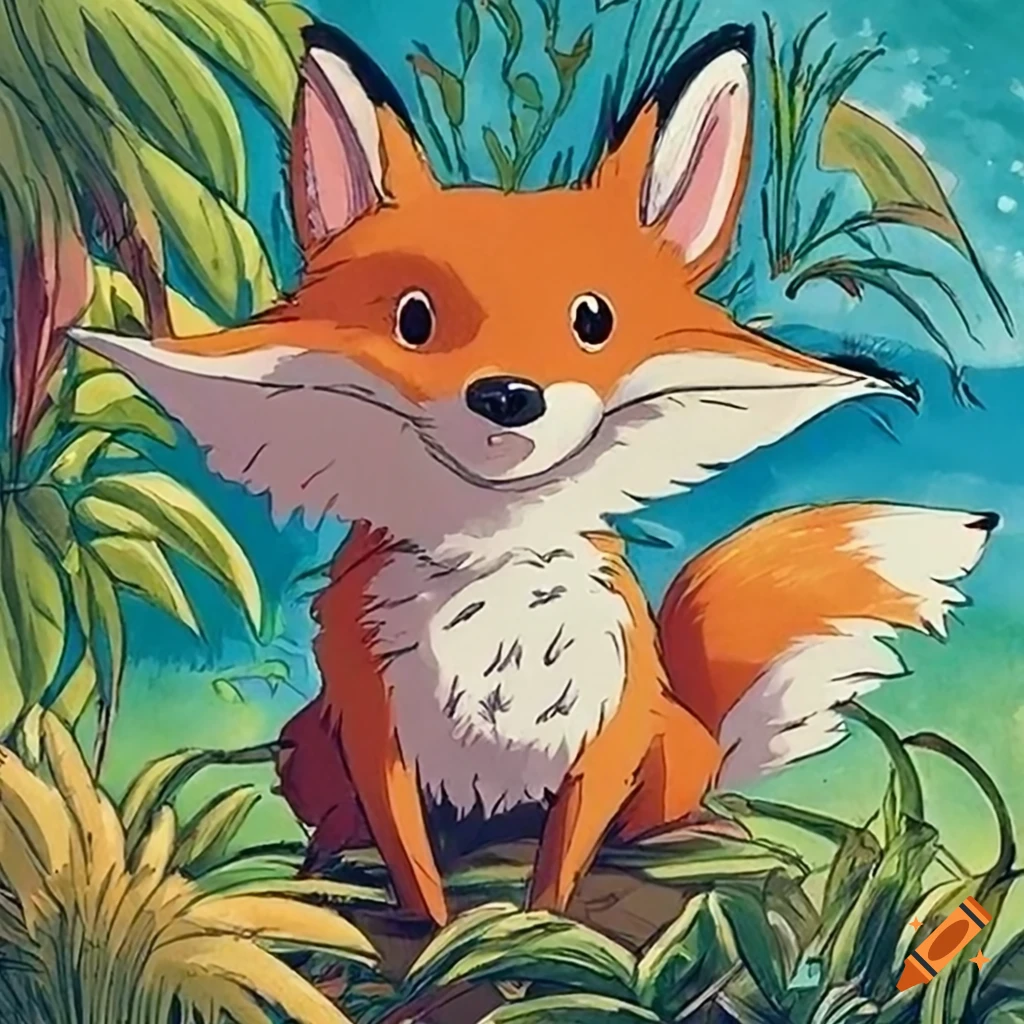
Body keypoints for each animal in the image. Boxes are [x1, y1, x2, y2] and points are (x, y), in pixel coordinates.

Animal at [70, 22, 998, 930]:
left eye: (593, 320)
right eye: (414, 320)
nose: (508, 396)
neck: (497, 560)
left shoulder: (607, 731)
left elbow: (560, 871)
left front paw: (540, 930)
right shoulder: (375, 734)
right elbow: (416, 873)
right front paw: (441, 937)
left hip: (669, 749)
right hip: (308, 748)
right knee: (340, 830)